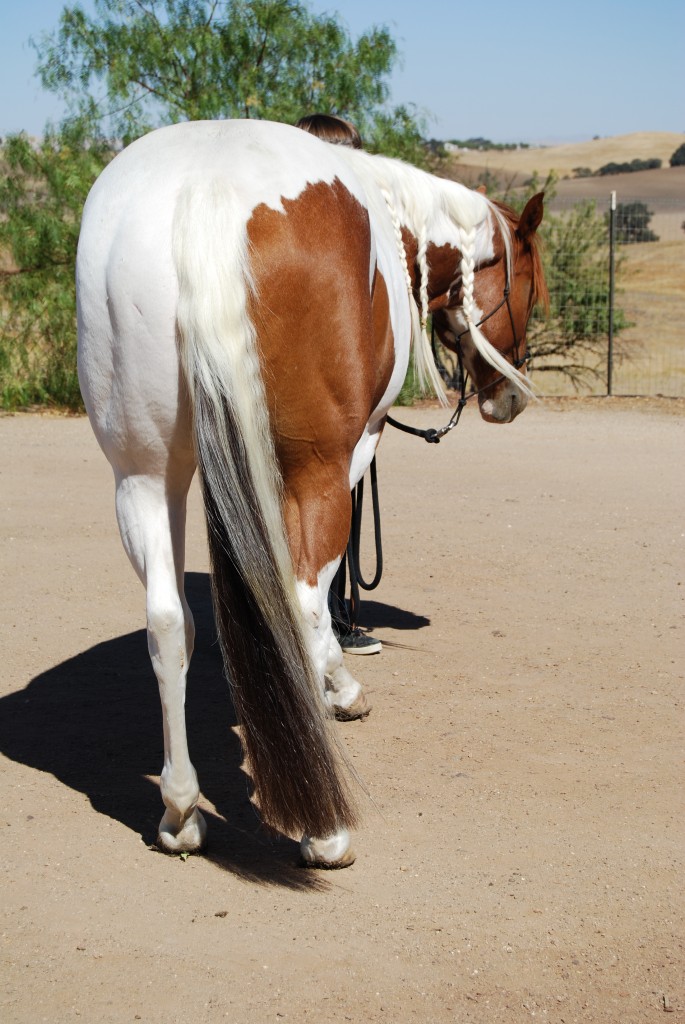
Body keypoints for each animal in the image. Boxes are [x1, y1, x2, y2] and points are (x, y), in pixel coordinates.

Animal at [76, 119, 546, 869]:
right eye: (531, 283)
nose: (508, 398)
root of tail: (205, 188)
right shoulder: (352, 452)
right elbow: (320, 590)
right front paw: (338, 685)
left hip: (143, 478)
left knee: (168, 622)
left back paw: (180, 810)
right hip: (311, 470)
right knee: (294, 601)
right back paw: (322, 828)